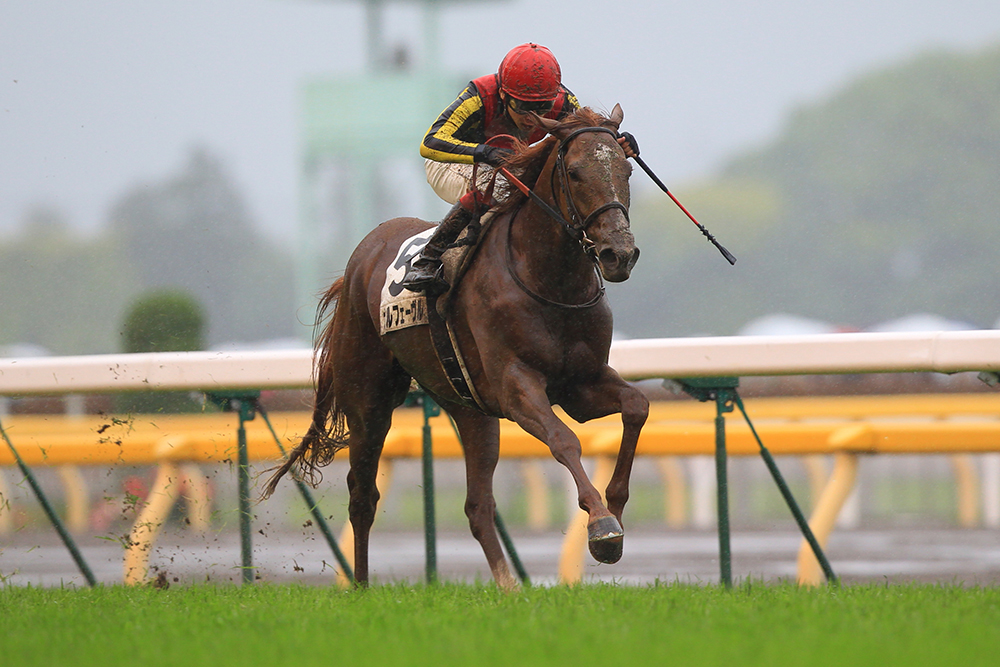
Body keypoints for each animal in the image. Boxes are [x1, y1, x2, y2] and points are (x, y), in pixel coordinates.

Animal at [265, 105, 649, 589]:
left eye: (626, 169)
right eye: (576, 172)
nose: (620, 254)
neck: (547, 277)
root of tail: (364, 251)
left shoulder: (580, 383)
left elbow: (636, 406)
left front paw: (614, 508)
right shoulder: (516, 387)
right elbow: (564, 440)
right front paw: (601, 526)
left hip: (470, 409)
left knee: (477, 505)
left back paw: (508, 586)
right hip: (369, 399)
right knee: (362, 494)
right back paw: (362, 586)